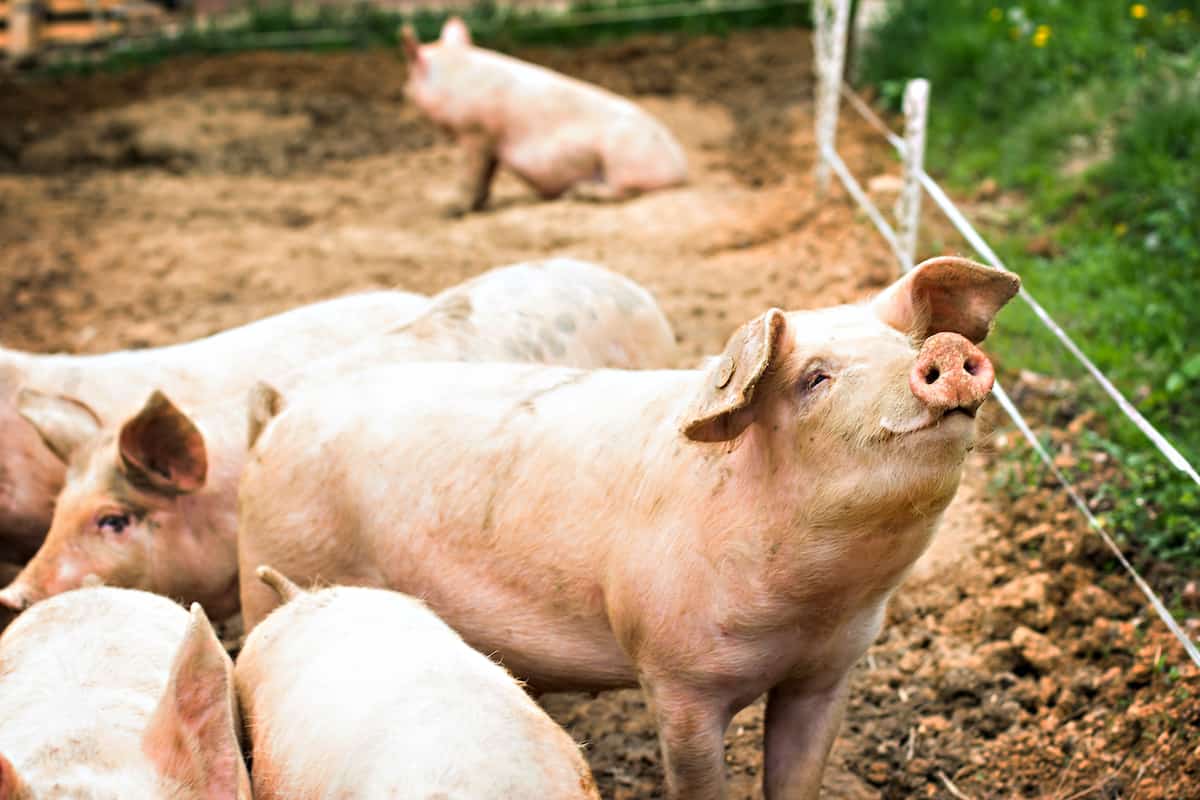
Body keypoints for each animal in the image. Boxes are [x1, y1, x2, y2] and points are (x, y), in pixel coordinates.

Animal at [401, 17, 687, 215]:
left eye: (410, 74)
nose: (403, 90)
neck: (453, 78)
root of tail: (680, 168)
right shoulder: (491, 140)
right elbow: (486, 175)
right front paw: (480, 205)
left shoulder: (475, 130)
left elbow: (470, 174)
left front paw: (449, 211)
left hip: (624, 158)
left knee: (626, 190)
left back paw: (580, 194)